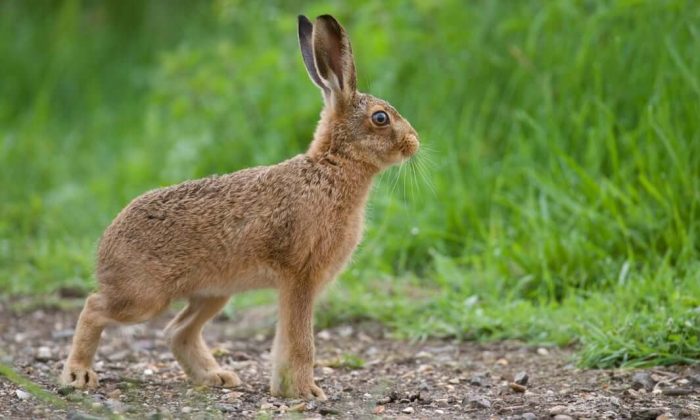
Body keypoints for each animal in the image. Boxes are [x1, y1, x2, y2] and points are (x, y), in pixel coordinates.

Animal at [60, 14, 419, 400]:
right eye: (380, 118)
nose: (414, 142)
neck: (331, 167)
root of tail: (104, 250)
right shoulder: (300, 276)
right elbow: (300, 340)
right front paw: (306, 391)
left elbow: (285, 340)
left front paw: (285, 389)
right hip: (144, 297)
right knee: (94, 307)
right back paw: (79, 374)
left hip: (214, 294)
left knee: (177, 331)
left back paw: (216, 377)